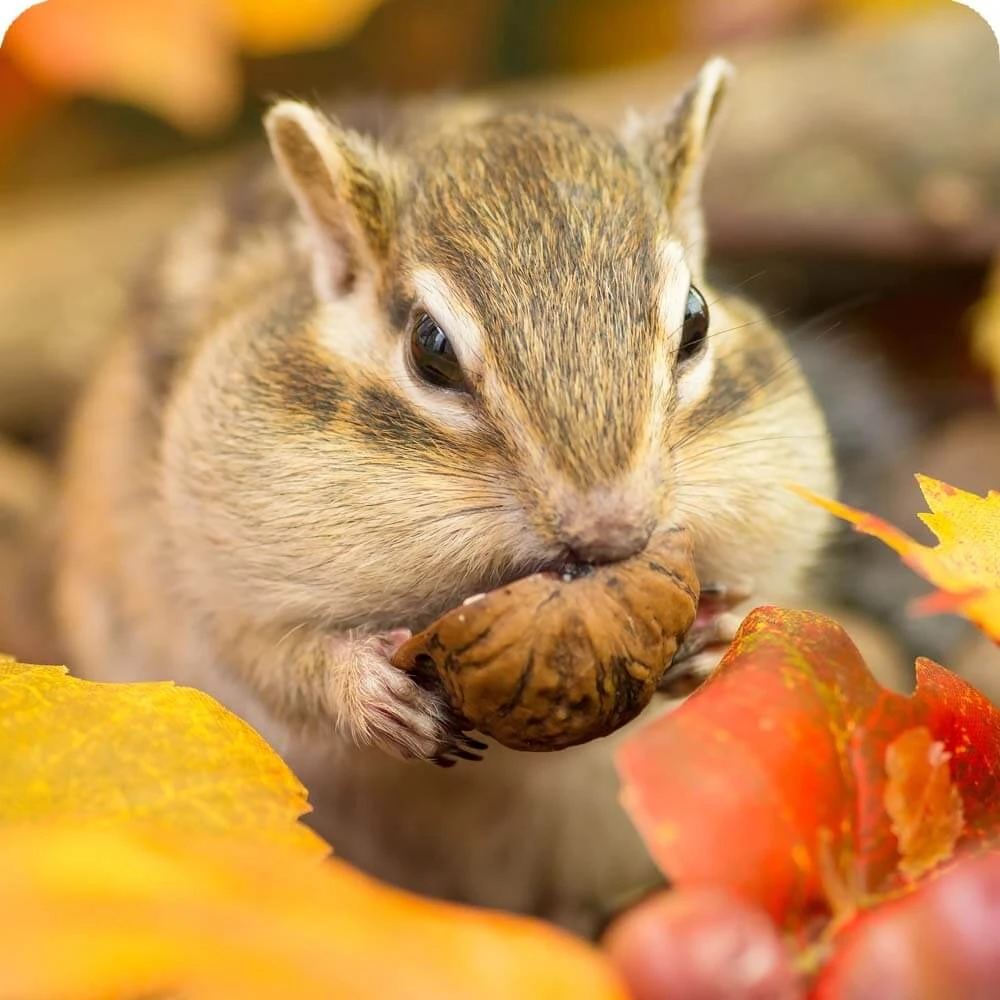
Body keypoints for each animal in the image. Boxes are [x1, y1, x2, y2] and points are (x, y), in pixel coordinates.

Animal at [54, 59, 835, 935]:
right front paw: (371, 692)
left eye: (697, 320)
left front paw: (717, 631)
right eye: (430, 348)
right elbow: (272, 660)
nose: (612, 531)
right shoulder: (222, 576)